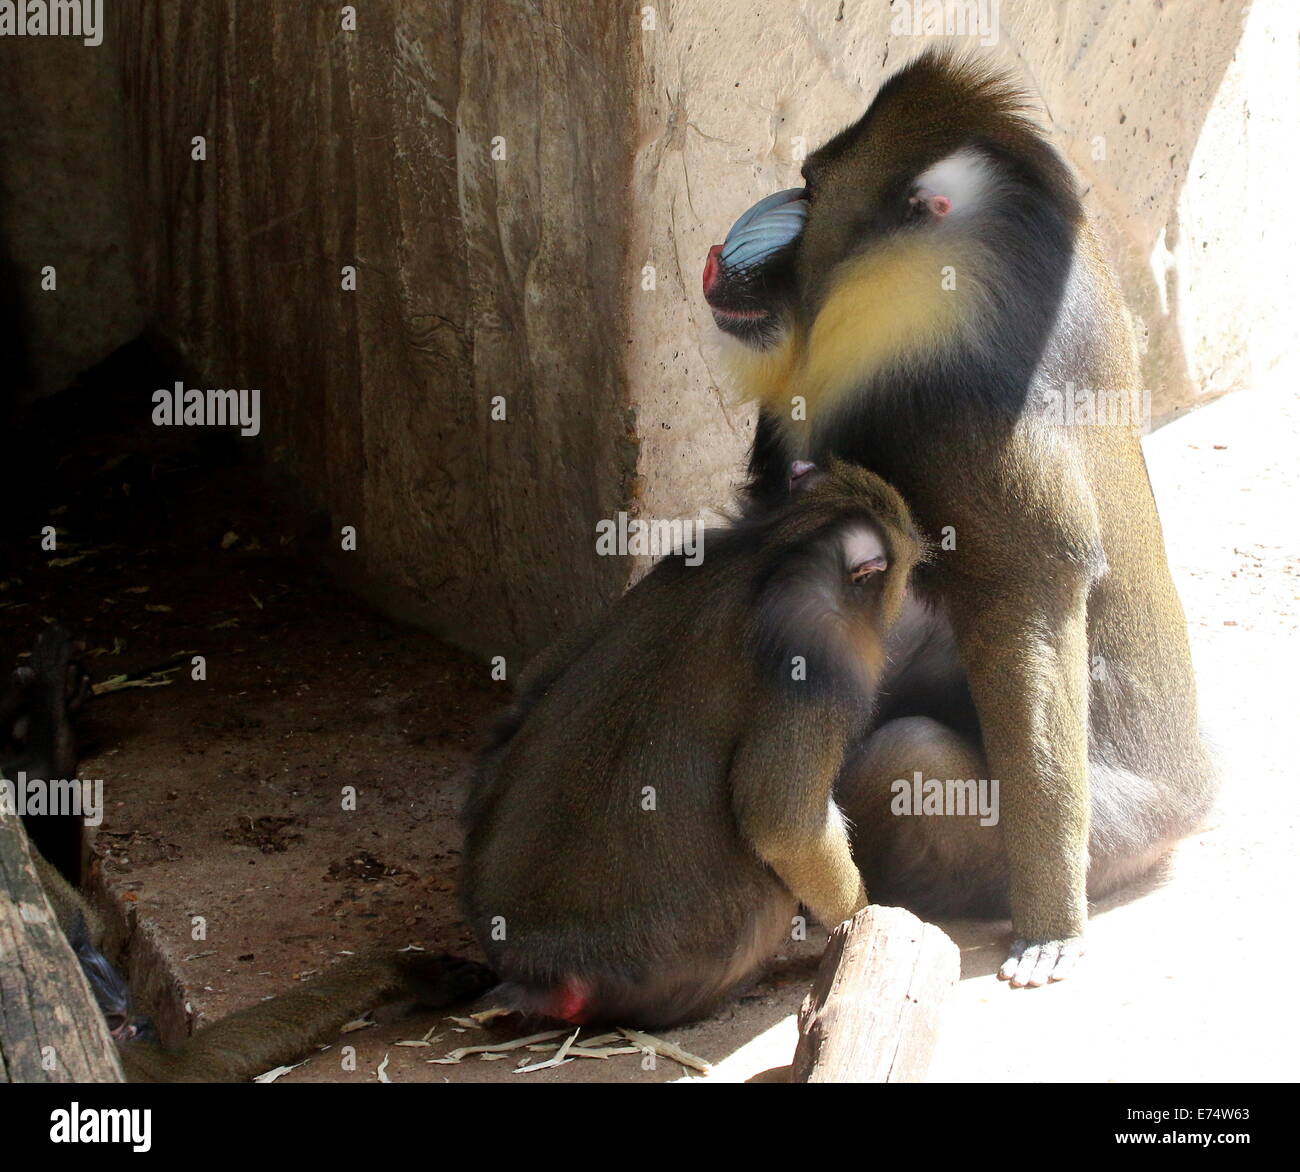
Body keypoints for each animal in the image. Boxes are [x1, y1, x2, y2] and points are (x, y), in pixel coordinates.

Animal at [461, 459, 925, 1028]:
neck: (774, 546)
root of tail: (535, 969)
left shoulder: (676, 561)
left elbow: (538, 678)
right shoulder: (820, 646)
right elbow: (785, 827)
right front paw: (864, 922)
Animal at [701, 49, 1217, 986]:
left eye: (814, 184)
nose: (736, 241)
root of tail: (1186, 803)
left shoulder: (970, 429)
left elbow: (1029, 608)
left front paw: (1051, 929)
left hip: (1094, 829)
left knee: (909, 752)